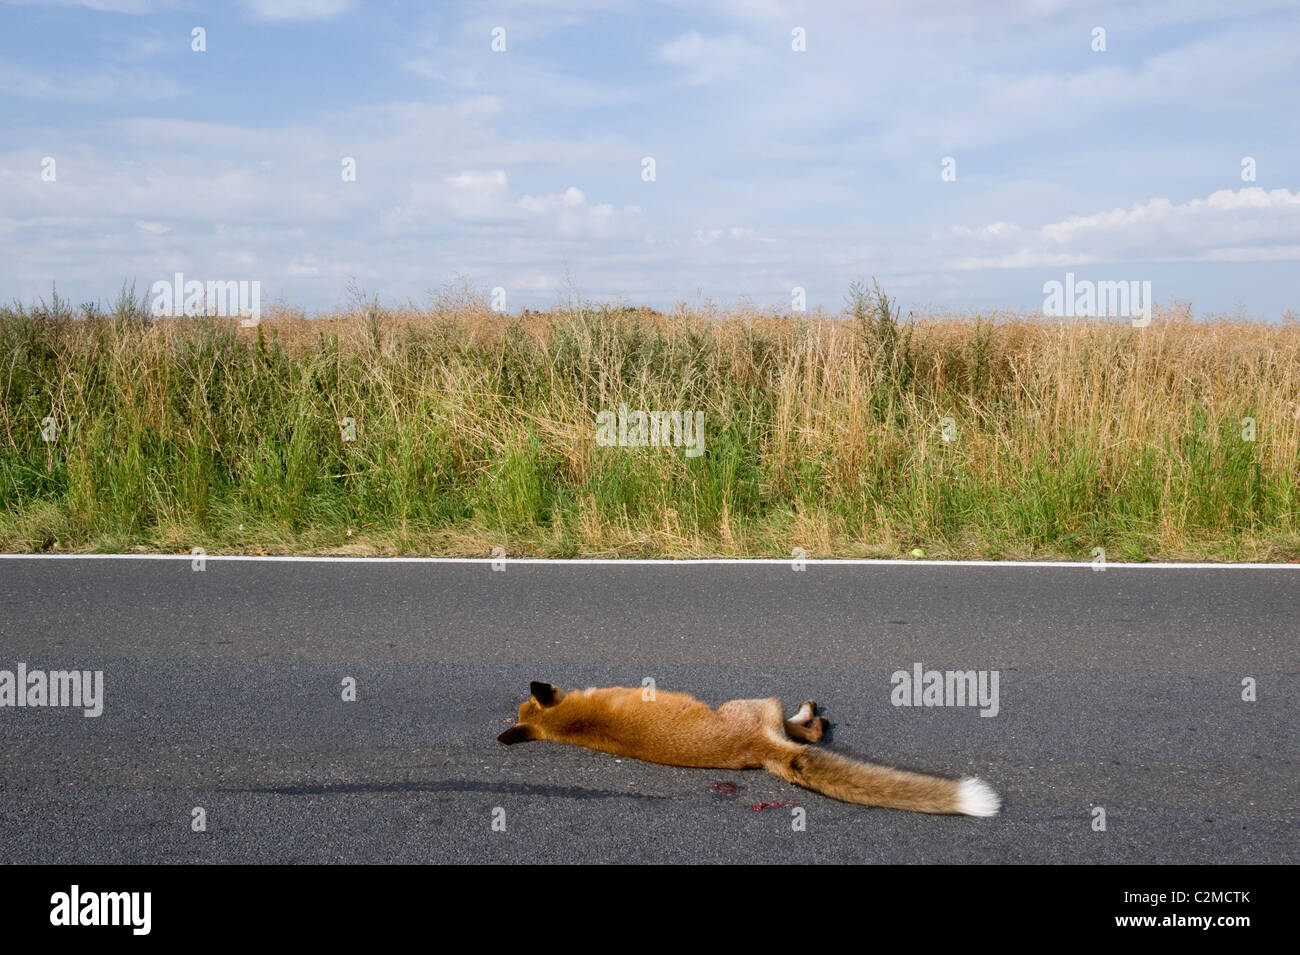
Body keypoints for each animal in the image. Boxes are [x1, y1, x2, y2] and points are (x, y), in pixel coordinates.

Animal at [498, 682, 1000, 816]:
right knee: (808, 733)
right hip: (761, 703)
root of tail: (754, 748)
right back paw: (813, 714)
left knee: (805, 737)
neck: (569, 719)